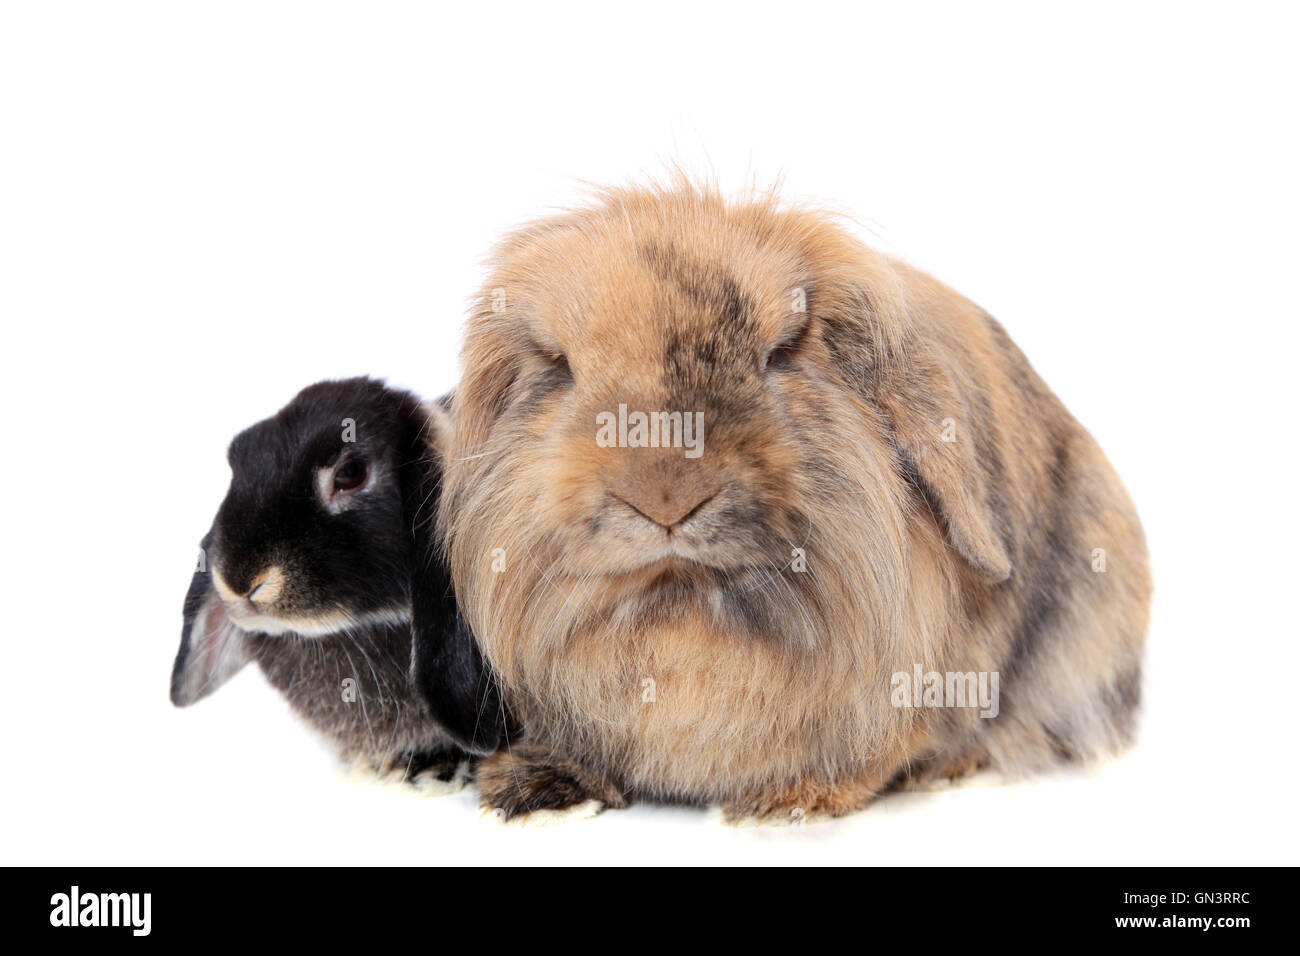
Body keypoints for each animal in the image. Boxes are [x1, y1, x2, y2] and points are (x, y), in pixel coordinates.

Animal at [424, 178, 1151, 823]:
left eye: (778, 356)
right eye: (561, 368)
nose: (665, 497)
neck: (681, 608)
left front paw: (785, 805)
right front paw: (527, 790)